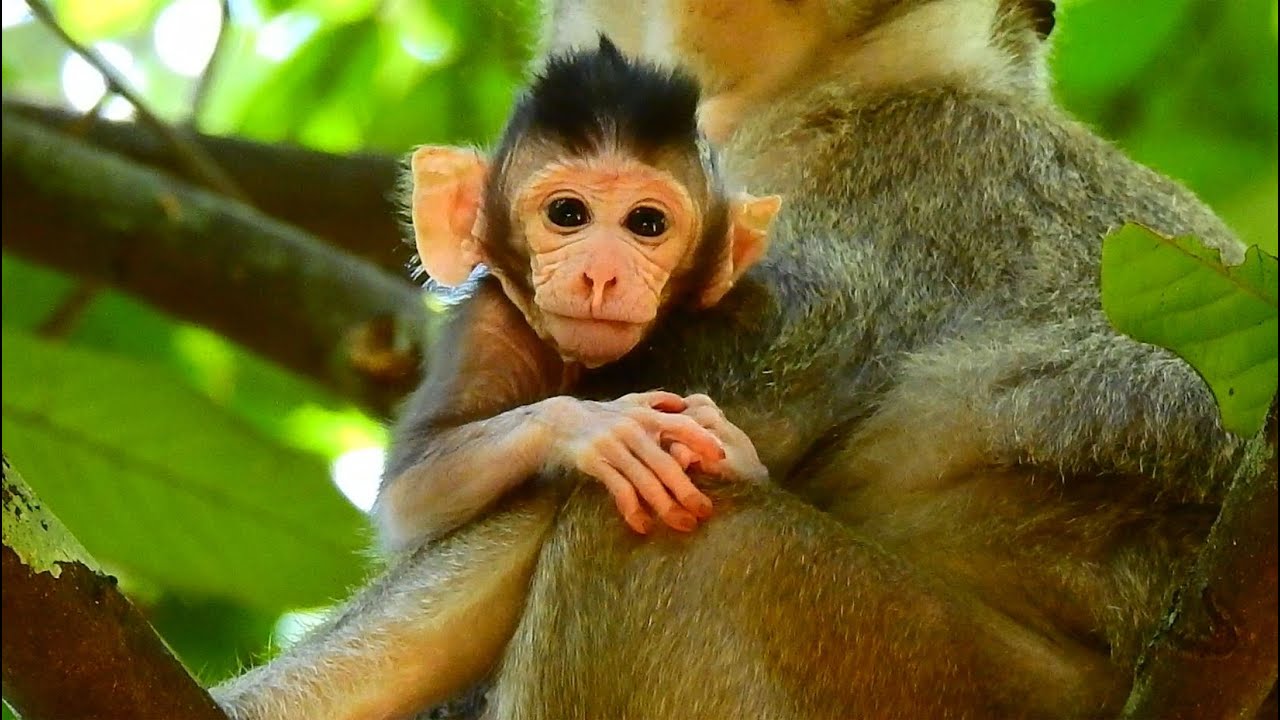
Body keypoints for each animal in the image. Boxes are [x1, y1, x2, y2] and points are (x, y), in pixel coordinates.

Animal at [375, 37, 780, 553]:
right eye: (567, 213)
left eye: (647, 222)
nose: (602, 274)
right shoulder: (489, 326)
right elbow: (409, 492)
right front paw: (595, 425)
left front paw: (735, 451)